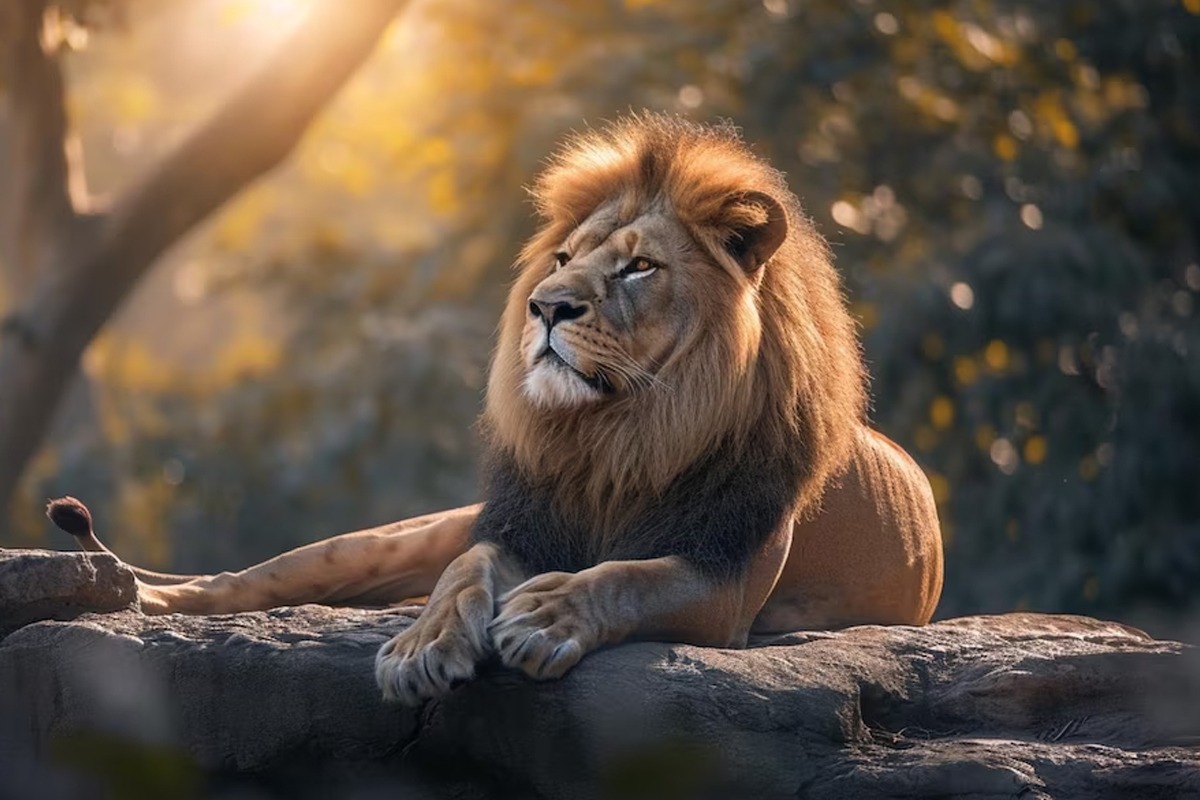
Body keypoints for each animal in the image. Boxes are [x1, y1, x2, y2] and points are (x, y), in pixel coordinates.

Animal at [48, 114, 943, 706]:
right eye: (562, 258)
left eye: (639, 268)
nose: (546, 308)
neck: (618, 433)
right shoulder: (518, 524)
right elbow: (466, 570)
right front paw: (422, 644)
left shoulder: (721, 578)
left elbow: (630, 575)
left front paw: (545, 613)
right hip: (388, 540)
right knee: (248, 578)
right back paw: (138, 597)